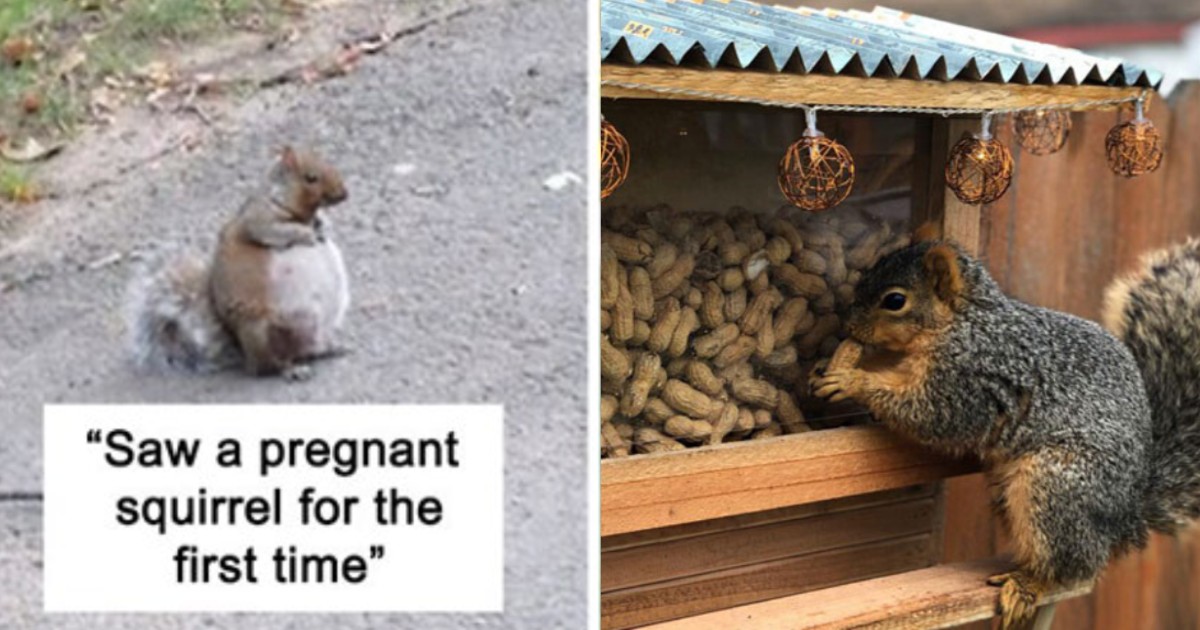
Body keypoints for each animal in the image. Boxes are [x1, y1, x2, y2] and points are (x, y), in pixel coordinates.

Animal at [126, 146, 350, 380]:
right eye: (311, 178)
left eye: (327, 162)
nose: (344, 193)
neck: (278, 197)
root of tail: (242, 352)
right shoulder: (259, 221)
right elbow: (281, 231)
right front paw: (307, 234)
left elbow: (317, 222)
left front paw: (323, 225)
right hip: (262, 332)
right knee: (269, 365)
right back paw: (292, 369)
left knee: (308, 349)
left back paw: (332, 348)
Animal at [810, 228, 1200, 629]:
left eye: (895, 300)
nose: (848, 326)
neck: (964, 322)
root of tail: (1127, 518)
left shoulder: (967, 382)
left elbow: (931, 415)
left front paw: (851, 379)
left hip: (1055, 484)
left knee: (1075, 567)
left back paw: (1030, 585)